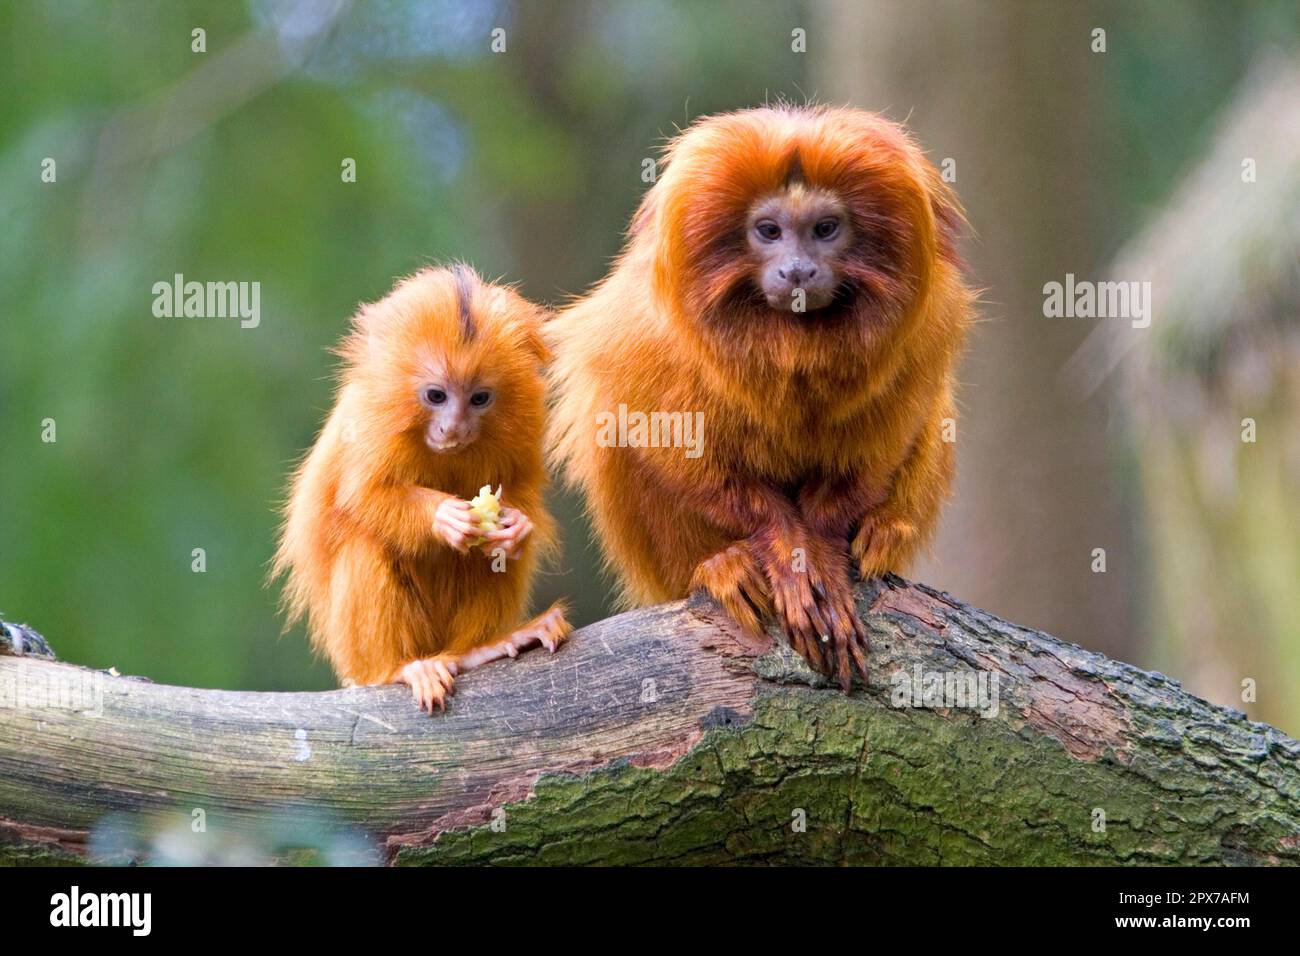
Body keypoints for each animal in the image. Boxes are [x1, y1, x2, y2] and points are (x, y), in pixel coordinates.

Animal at [272, 265, 570, 713]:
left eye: (479, 398)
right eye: (436, 395)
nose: (453, 427)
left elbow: (520, 500)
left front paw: (516, 526)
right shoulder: (370, 426)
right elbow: (363, 497)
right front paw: (443, 518)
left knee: (492, 560)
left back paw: (480, 649)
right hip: (358, 661)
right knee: (365, 544)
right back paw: (403, 668)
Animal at [547, 105, 974, 691]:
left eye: (825, 229)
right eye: (769, 231)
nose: (796, 269)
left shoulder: (929, 325)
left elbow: (879, 446)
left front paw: (821, 550)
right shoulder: (646, 338)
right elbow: (654, 434)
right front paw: (784, 550)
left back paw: (886, 531)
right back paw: (720, 567)